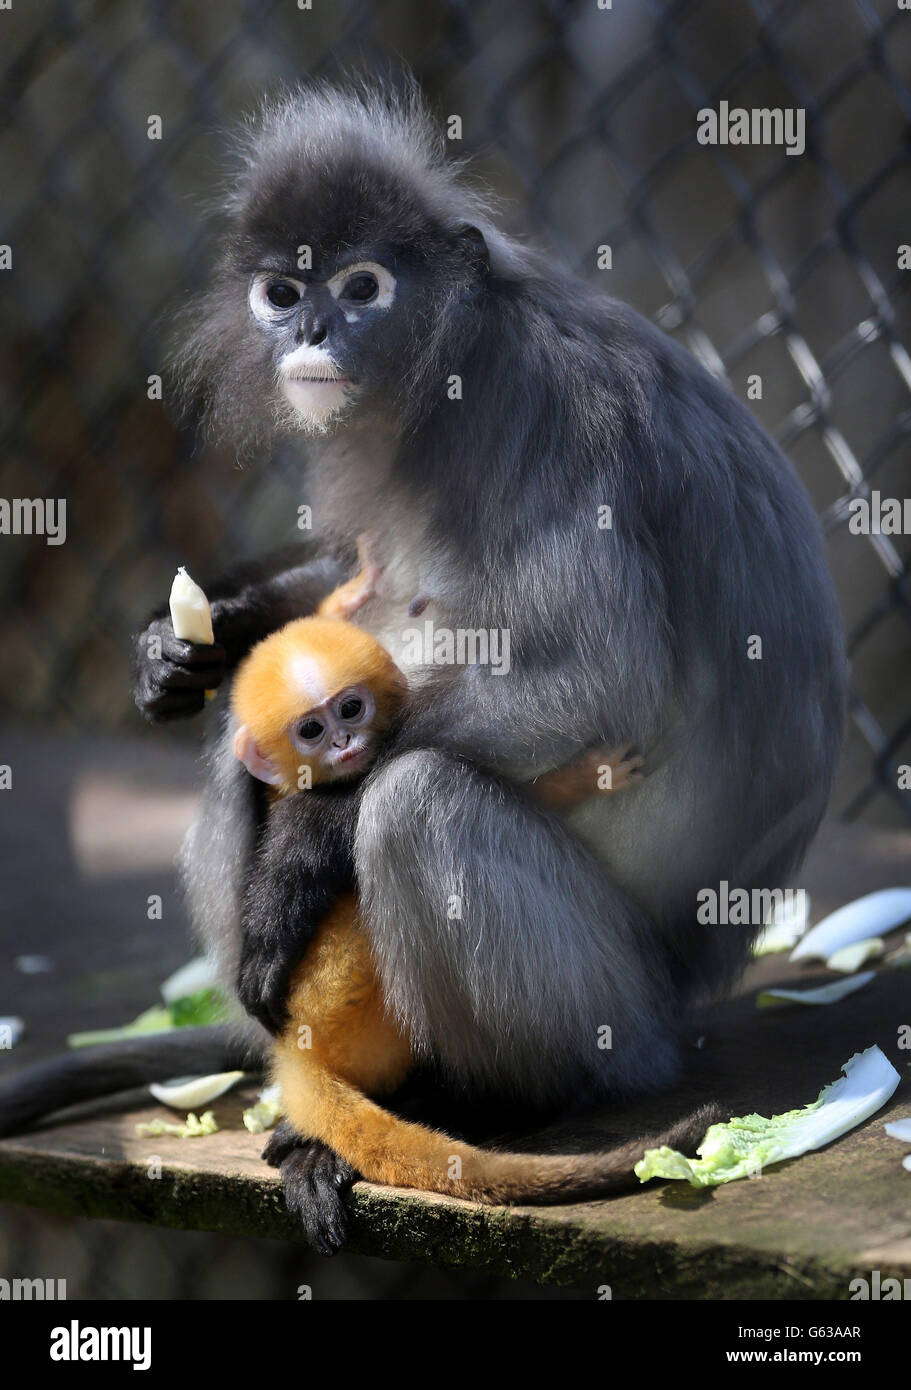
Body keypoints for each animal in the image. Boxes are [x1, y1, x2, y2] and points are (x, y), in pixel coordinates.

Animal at [0, 83, 847, 1254]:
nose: (310, 328)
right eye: (281, 291)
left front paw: (305, 853)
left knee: (416, 802)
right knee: (241, 750)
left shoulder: (548, 413)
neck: (456, 362)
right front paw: (182, 644)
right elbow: (356, 585)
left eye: (362, 287)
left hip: (625, 1009)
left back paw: (483, 1103)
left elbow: (599, 683)